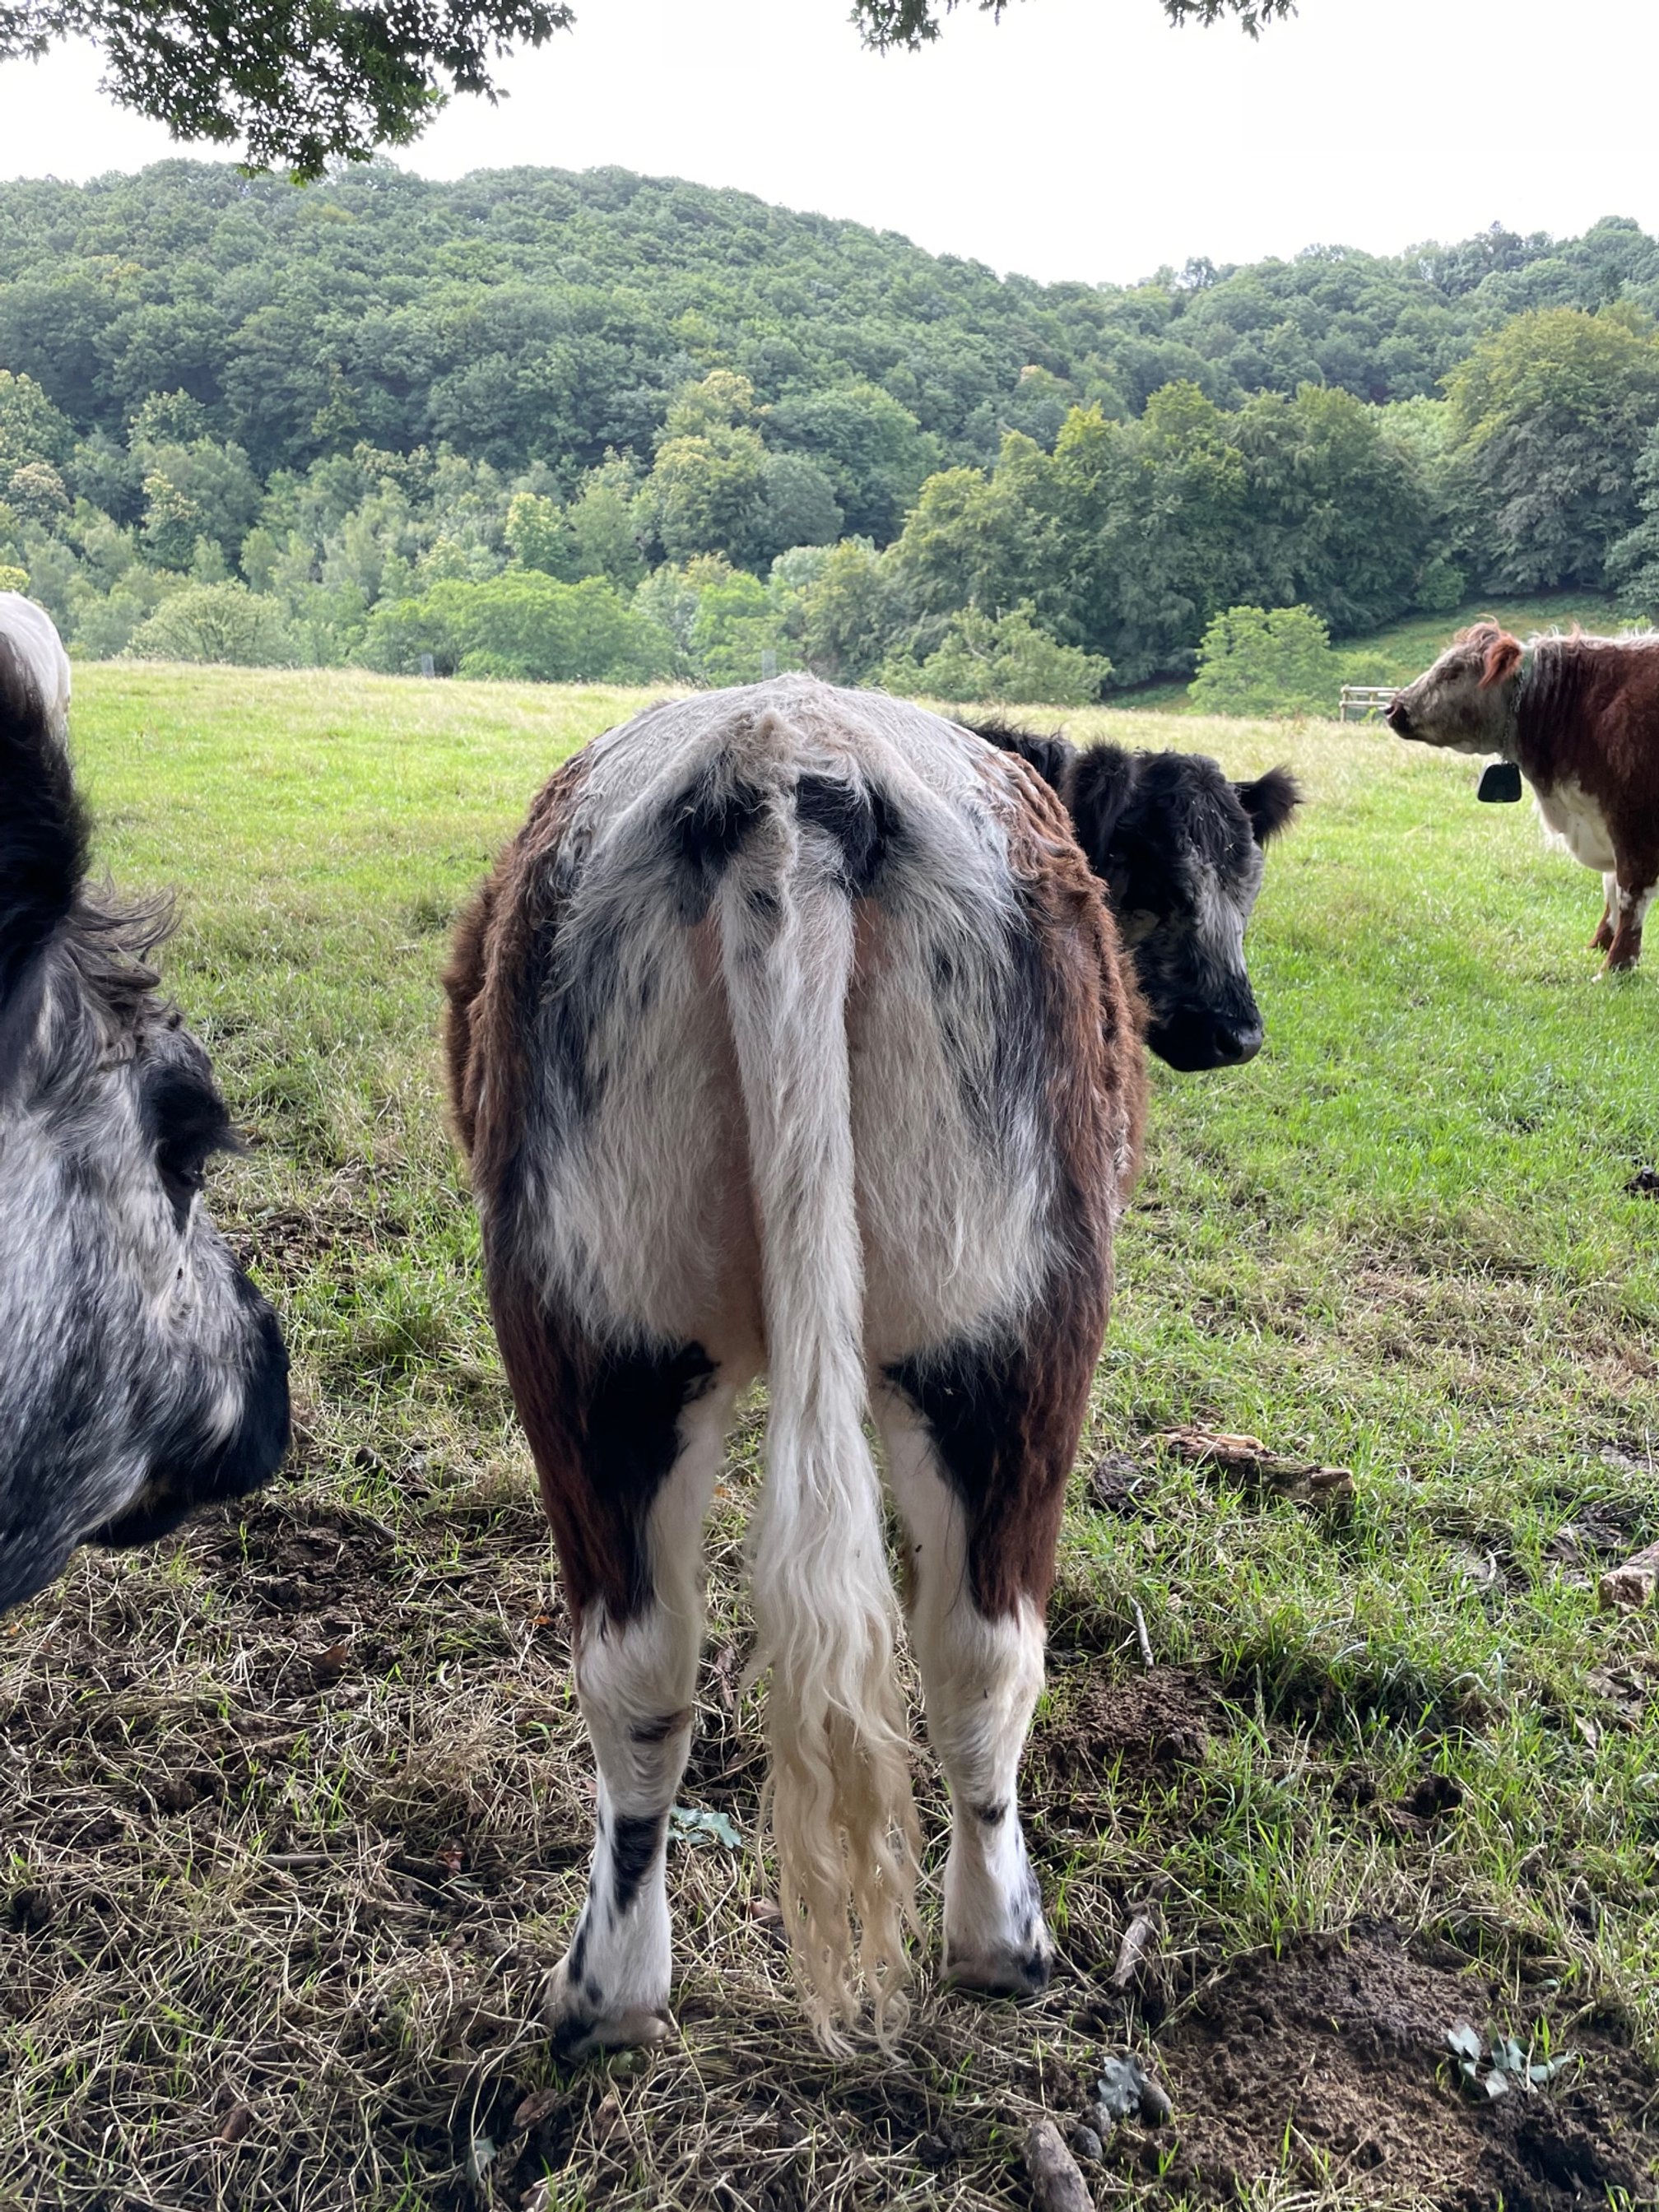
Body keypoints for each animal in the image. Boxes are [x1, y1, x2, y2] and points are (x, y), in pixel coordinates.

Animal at [443, 676, 1297, 2058]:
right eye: (1161, 885)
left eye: (1248, 880)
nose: (1236, 1028)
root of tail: (794, 759)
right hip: (1016, 1318)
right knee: (986, 1655)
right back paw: (1005, 1945)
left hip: (604, 1329)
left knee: (650, 1667)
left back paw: (614, 1995)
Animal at [1386, 621, 1659, 971]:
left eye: (1453, 672)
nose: (1393, 707)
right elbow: (1610, 888)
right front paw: (1598, 945)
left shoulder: (1634, 826)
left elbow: (1629, 897)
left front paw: (1616, 965)